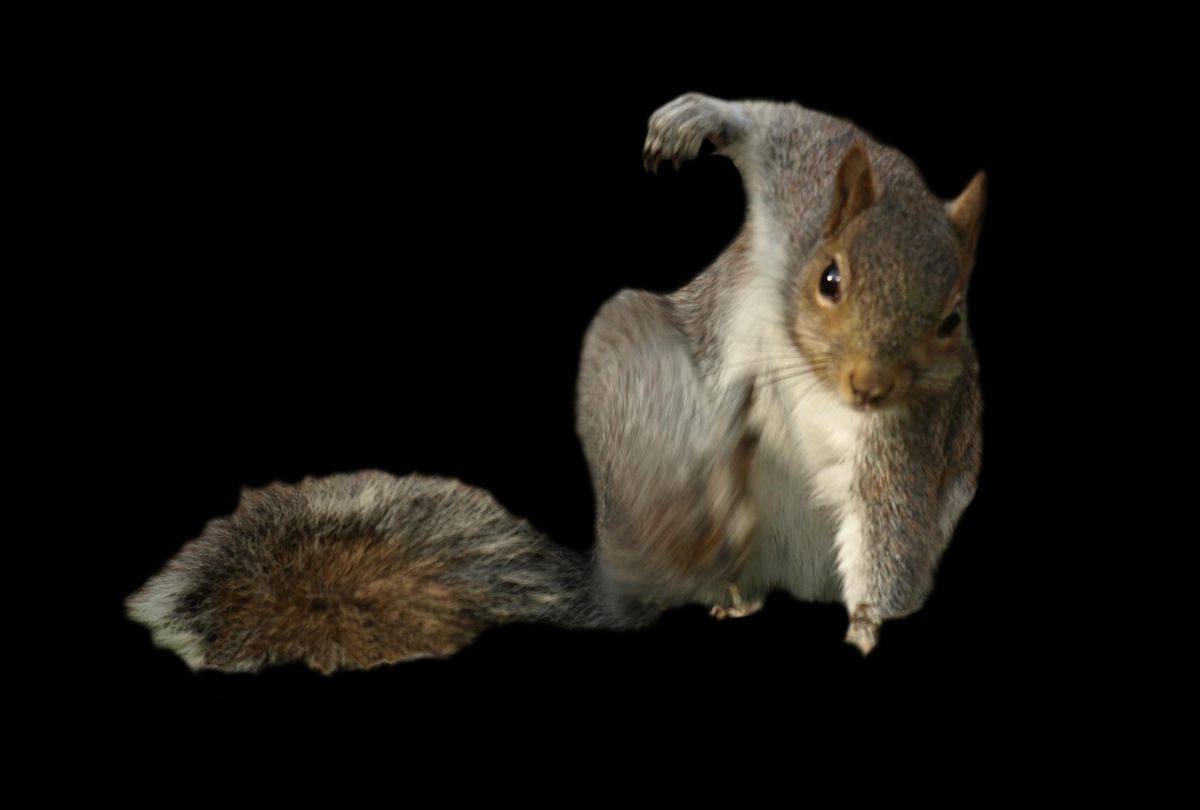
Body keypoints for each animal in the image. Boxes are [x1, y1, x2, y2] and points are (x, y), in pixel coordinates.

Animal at [127, 92, 986, 673]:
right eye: (829, 278)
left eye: (953, 318)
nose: (869, 386)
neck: (812, 367)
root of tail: (618, 585)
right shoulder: (805, 186)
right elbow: (791, 129)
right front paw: (701, 119)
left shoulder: (913, 436)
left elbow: (891, 527)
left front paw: (868, 625)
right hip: (631, 372)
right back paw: (707, 533)